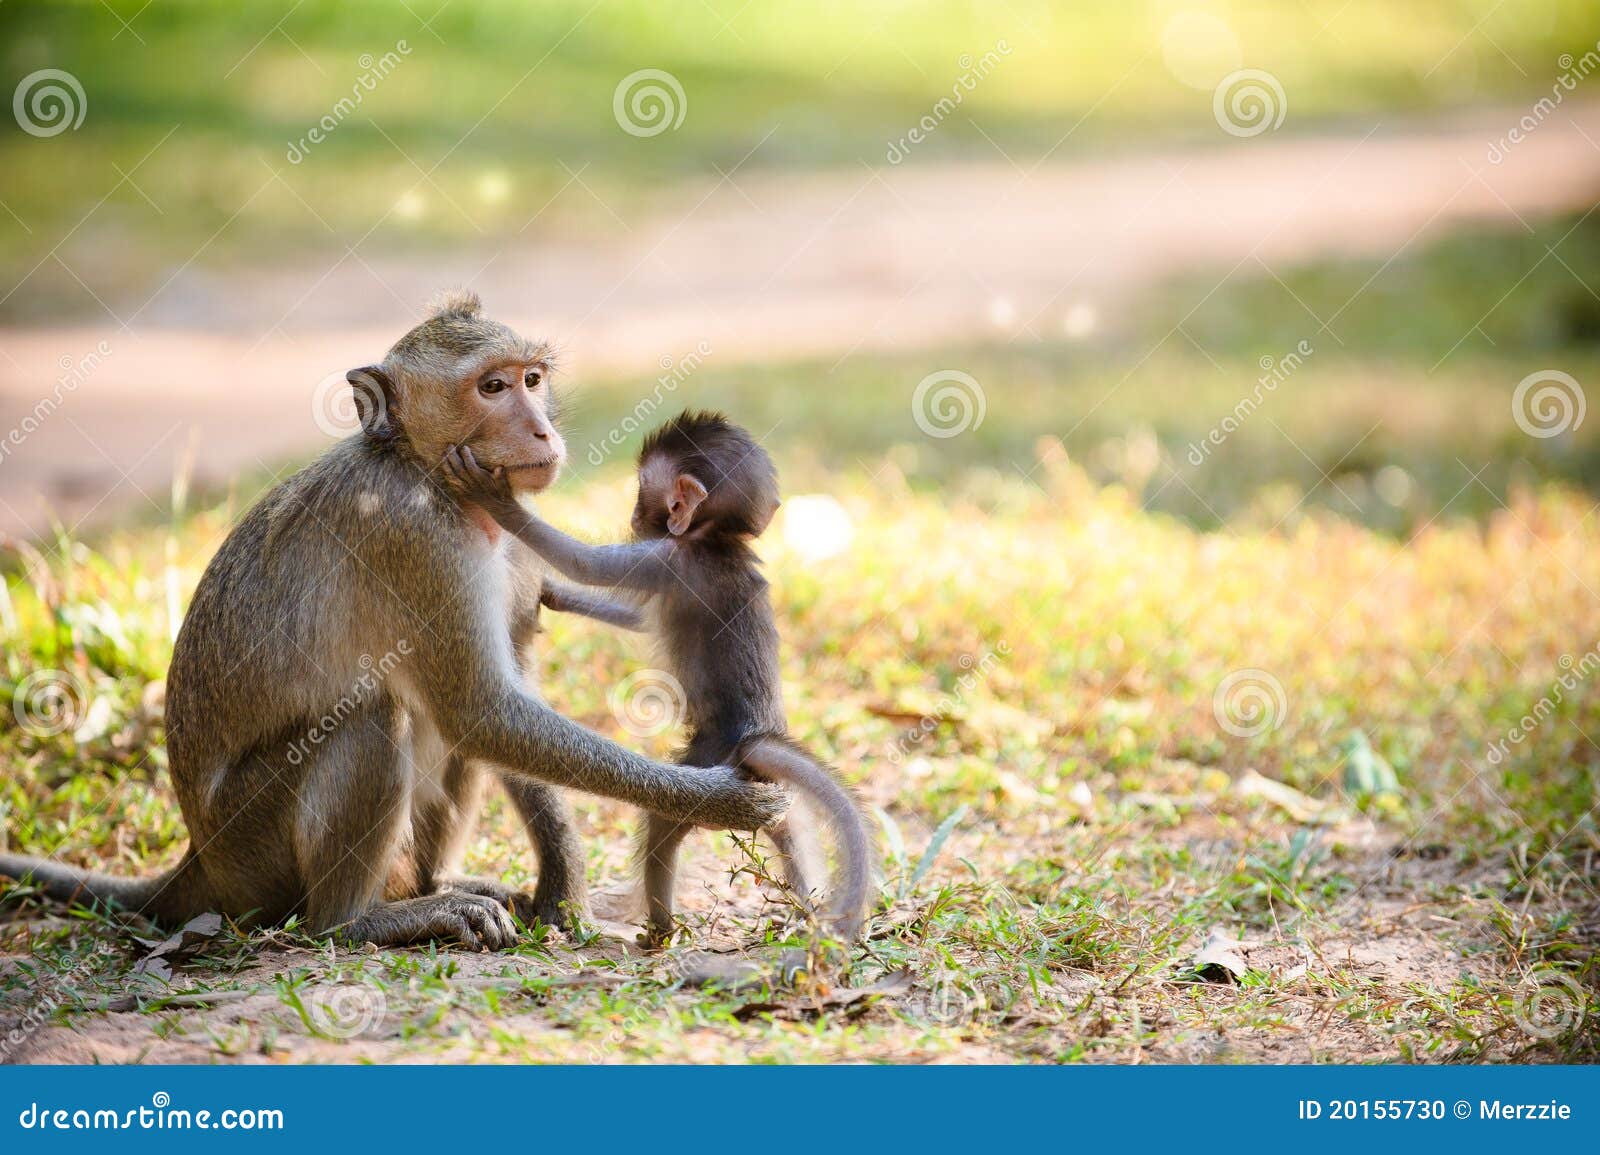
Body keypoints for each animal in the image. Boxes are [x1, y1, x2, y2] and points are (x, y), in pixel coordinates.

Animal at [0, 294, 787, 951]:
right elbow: (483, 710)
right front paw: (720, 800)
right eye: (491, 388)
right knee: (376, 714)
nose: (541, 430)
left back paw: (435, 888)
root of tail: (200, 856)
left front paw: (563, 885)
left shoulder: (508, 534)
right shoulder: (413, 537)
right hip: (252, 844)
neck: (424, 470)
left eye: (531, 379)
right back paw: (358, 920)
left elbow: (505, 700)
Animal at [444, 410, 871, 953]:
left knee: (661, 828)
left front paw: (498, 501)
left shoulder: (668, 558)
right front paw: (553, 594)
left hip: (712, 766)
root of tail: (755, 736)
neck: (715, 540)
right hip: (769, 790)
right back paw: (807, 913)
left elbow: (587, 563)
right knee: (792, 833)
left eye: (643, 488)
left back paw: (661, 927)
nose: (632, 513)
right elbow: (637, 617)